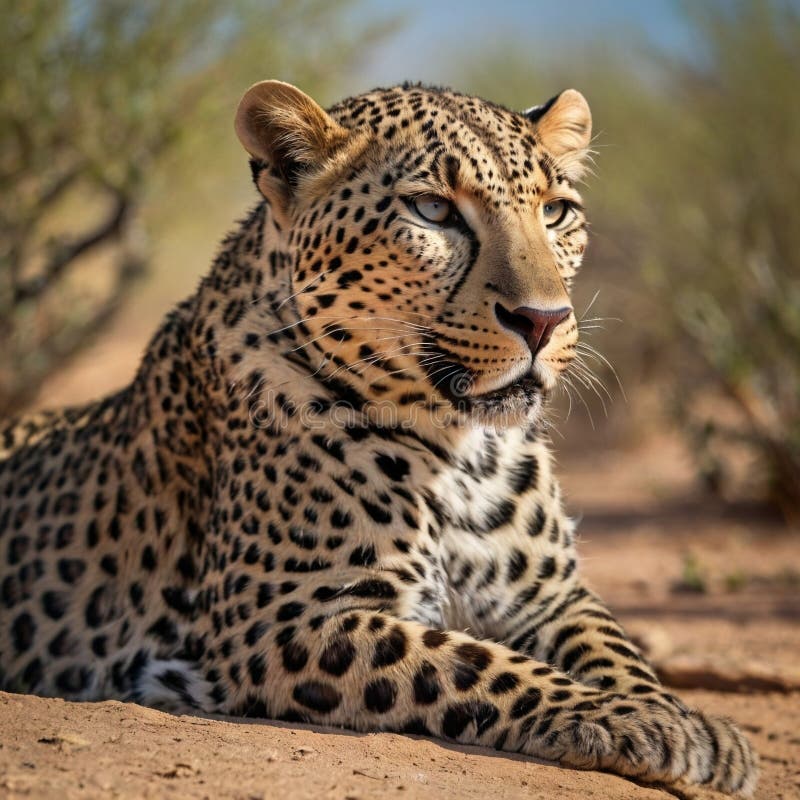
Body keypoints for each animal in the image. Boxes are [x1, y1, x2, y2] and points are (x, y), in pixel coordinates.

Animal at [0, 80, 758, 796]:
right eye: (433, 211)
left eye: (556, 211)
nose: (544, 321)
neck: (465, 450)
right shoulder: (287, 617)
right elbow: (474, 663)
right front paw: (626, 719)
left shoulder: (551, 594)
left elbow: (615, 648)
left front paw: (690, 721)